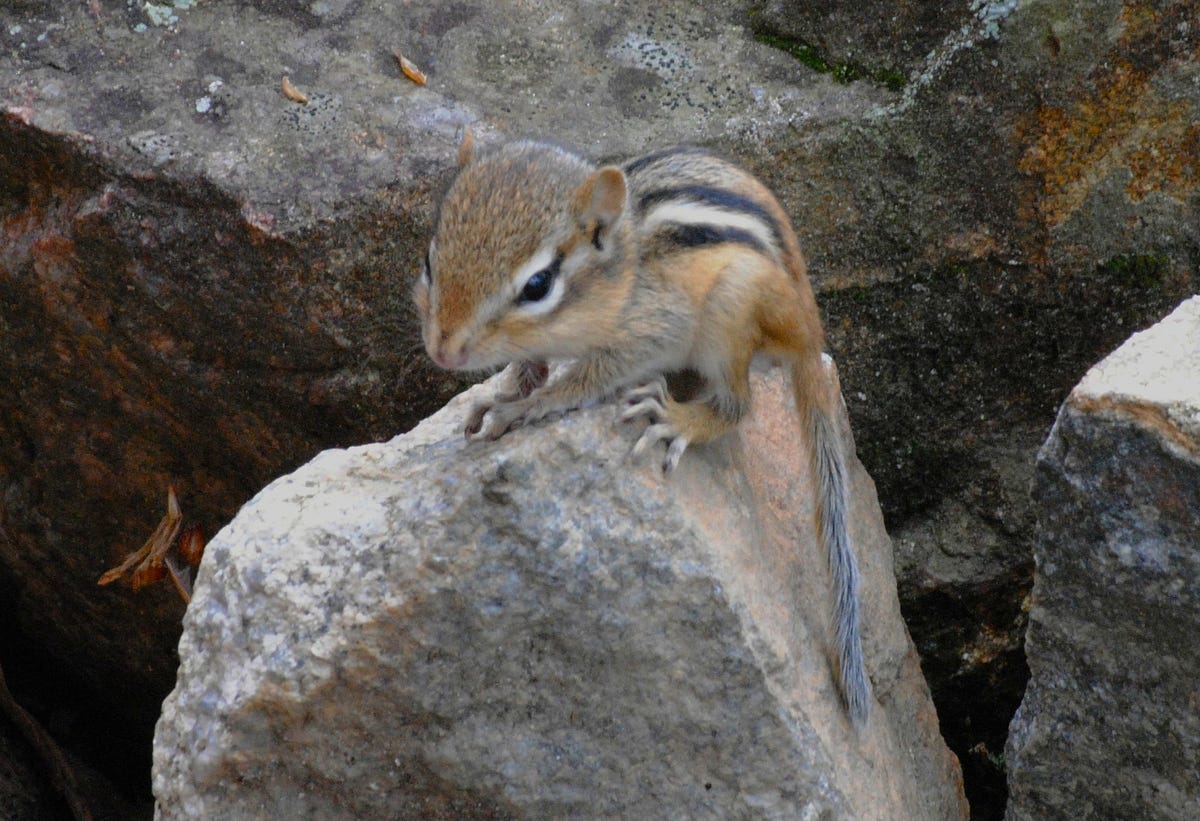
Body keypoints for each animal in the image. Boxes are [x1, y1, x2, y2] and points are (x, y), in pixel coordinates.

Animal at [414, 133, 871, 725]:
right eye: (429, 260)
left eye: (537, 285)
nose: (443, 350)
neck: (623, 263)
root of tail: (807, 329)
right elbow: (529, 366)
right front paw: (501, 395)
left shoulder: (653, 329)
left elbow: (585, 379)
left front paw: (527, 408)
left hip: (730, 312)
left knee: (738, 405)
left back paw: (677, 417)